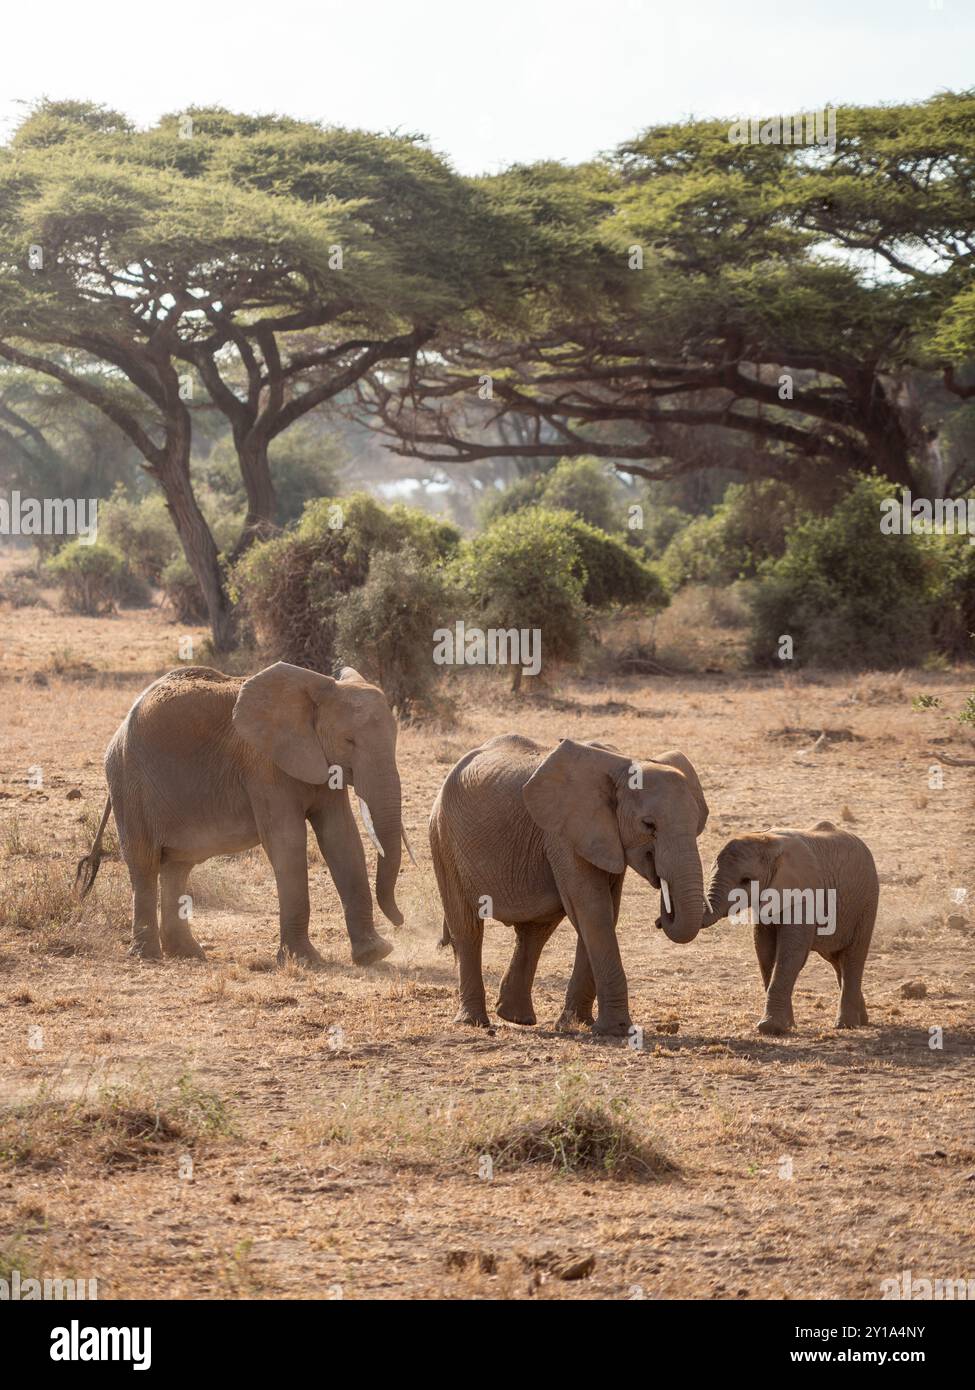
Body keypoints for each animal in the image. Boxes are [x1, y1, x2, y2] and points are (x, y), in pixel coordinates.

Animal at [75, 662, 408, 967]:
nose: (401, 920)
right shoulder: (264, 766)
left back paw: (187, 954)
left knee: (177, 866)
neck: (319, 688)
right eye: (349, 741)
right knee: (144, 862)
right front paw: (305, 961)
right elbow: (287, 842)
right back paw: (149, 956)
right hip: (130, 786)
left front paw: (374, 954)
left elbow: (342, 837)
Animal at [429, 735, 709, 1036]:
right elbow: (592, 910)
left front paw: (577, 1024)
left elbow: (603, 912)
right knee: (467, 928)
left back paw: (516, 1017)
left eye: (697, 824)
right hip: (442, 838)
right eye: (648, 825)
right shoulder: (564, 833)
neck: (623, 766)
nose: (660, 917)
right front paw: (616, 1030)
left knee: (535, 931)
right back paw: (474, 1021)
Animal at [702, 821, 878, 1035]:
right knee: (838, 961)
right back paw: (863, 1021)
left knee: (853, 957)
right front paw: (787, 1025)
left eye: (746, 880)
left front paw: (770, 1028)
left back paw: (846, 1025)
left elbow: (791, 952)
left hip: (867, 902)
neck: (767, 843)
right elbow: (765, 950)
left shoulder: (805, 894)